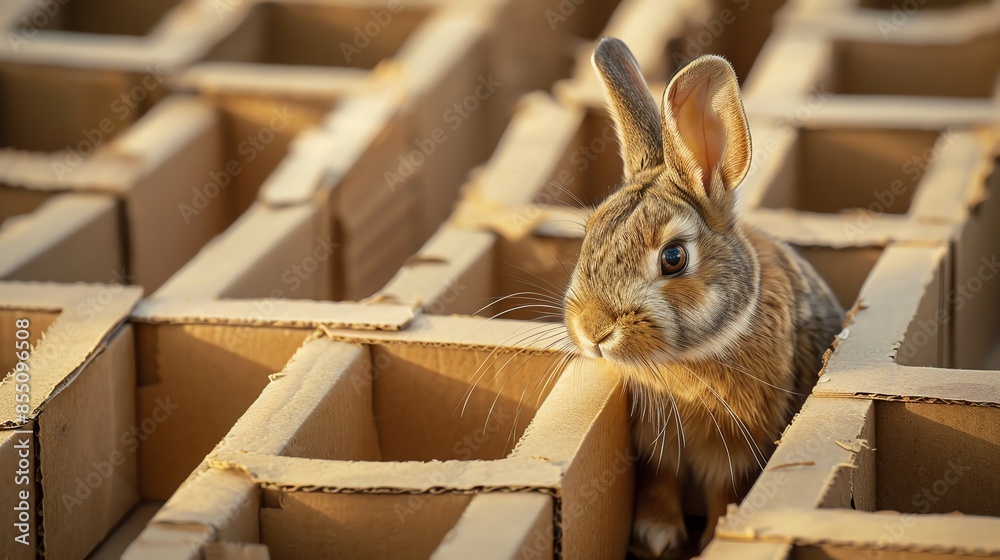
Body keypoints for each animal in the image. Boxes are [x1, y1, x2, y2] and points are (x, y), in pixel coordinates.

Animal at [562, 37, 845, 557]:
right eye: (591, 232)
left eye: (673, 257)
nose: (593, 331)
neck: (688, 361)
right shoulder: (655, 440)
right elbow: (661, 476)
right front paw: (656, 534)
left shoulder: (738, 447)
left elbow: (724, 492)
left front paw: (710, 541)